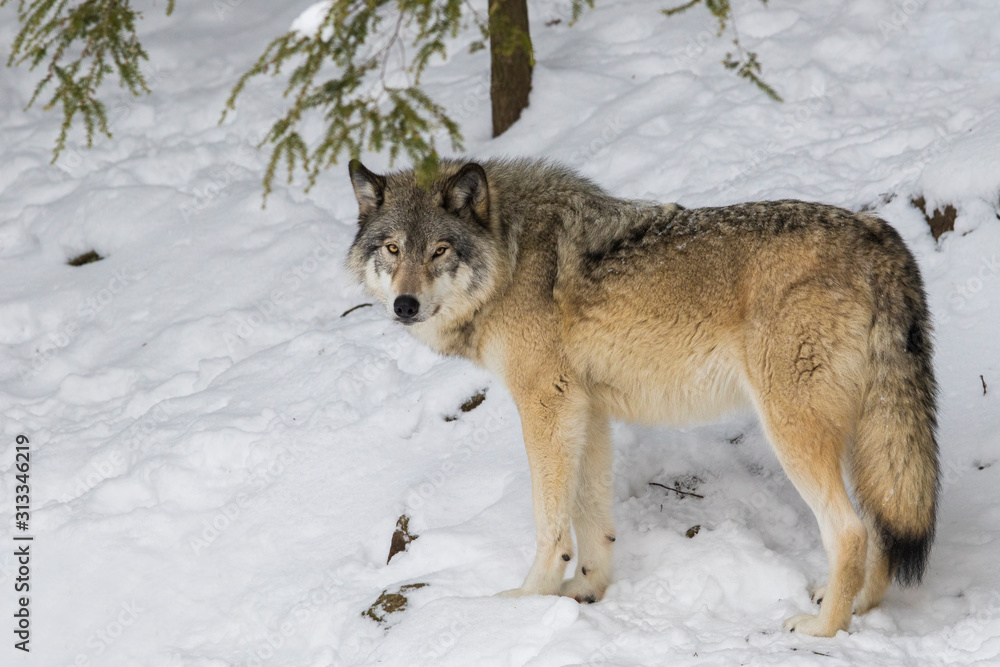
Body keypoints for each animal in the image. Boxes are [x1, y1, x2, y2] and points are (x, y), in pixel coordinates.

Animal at [345, 157, 938, 637]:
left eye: (439, 250)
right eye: (393, 249)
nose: (404, 304)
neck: (510, 257)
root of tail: (880, 236)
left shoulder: (546, 405)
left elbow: (550, 523)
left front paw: (524, 603)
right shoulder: (587, 410)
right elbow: (590, 518)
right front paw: (586, 593)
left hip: (794, 431)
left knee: (851, 531)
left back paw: (823, 629)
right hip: (867, 439)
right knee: (882, 527)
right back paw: (859, 606)